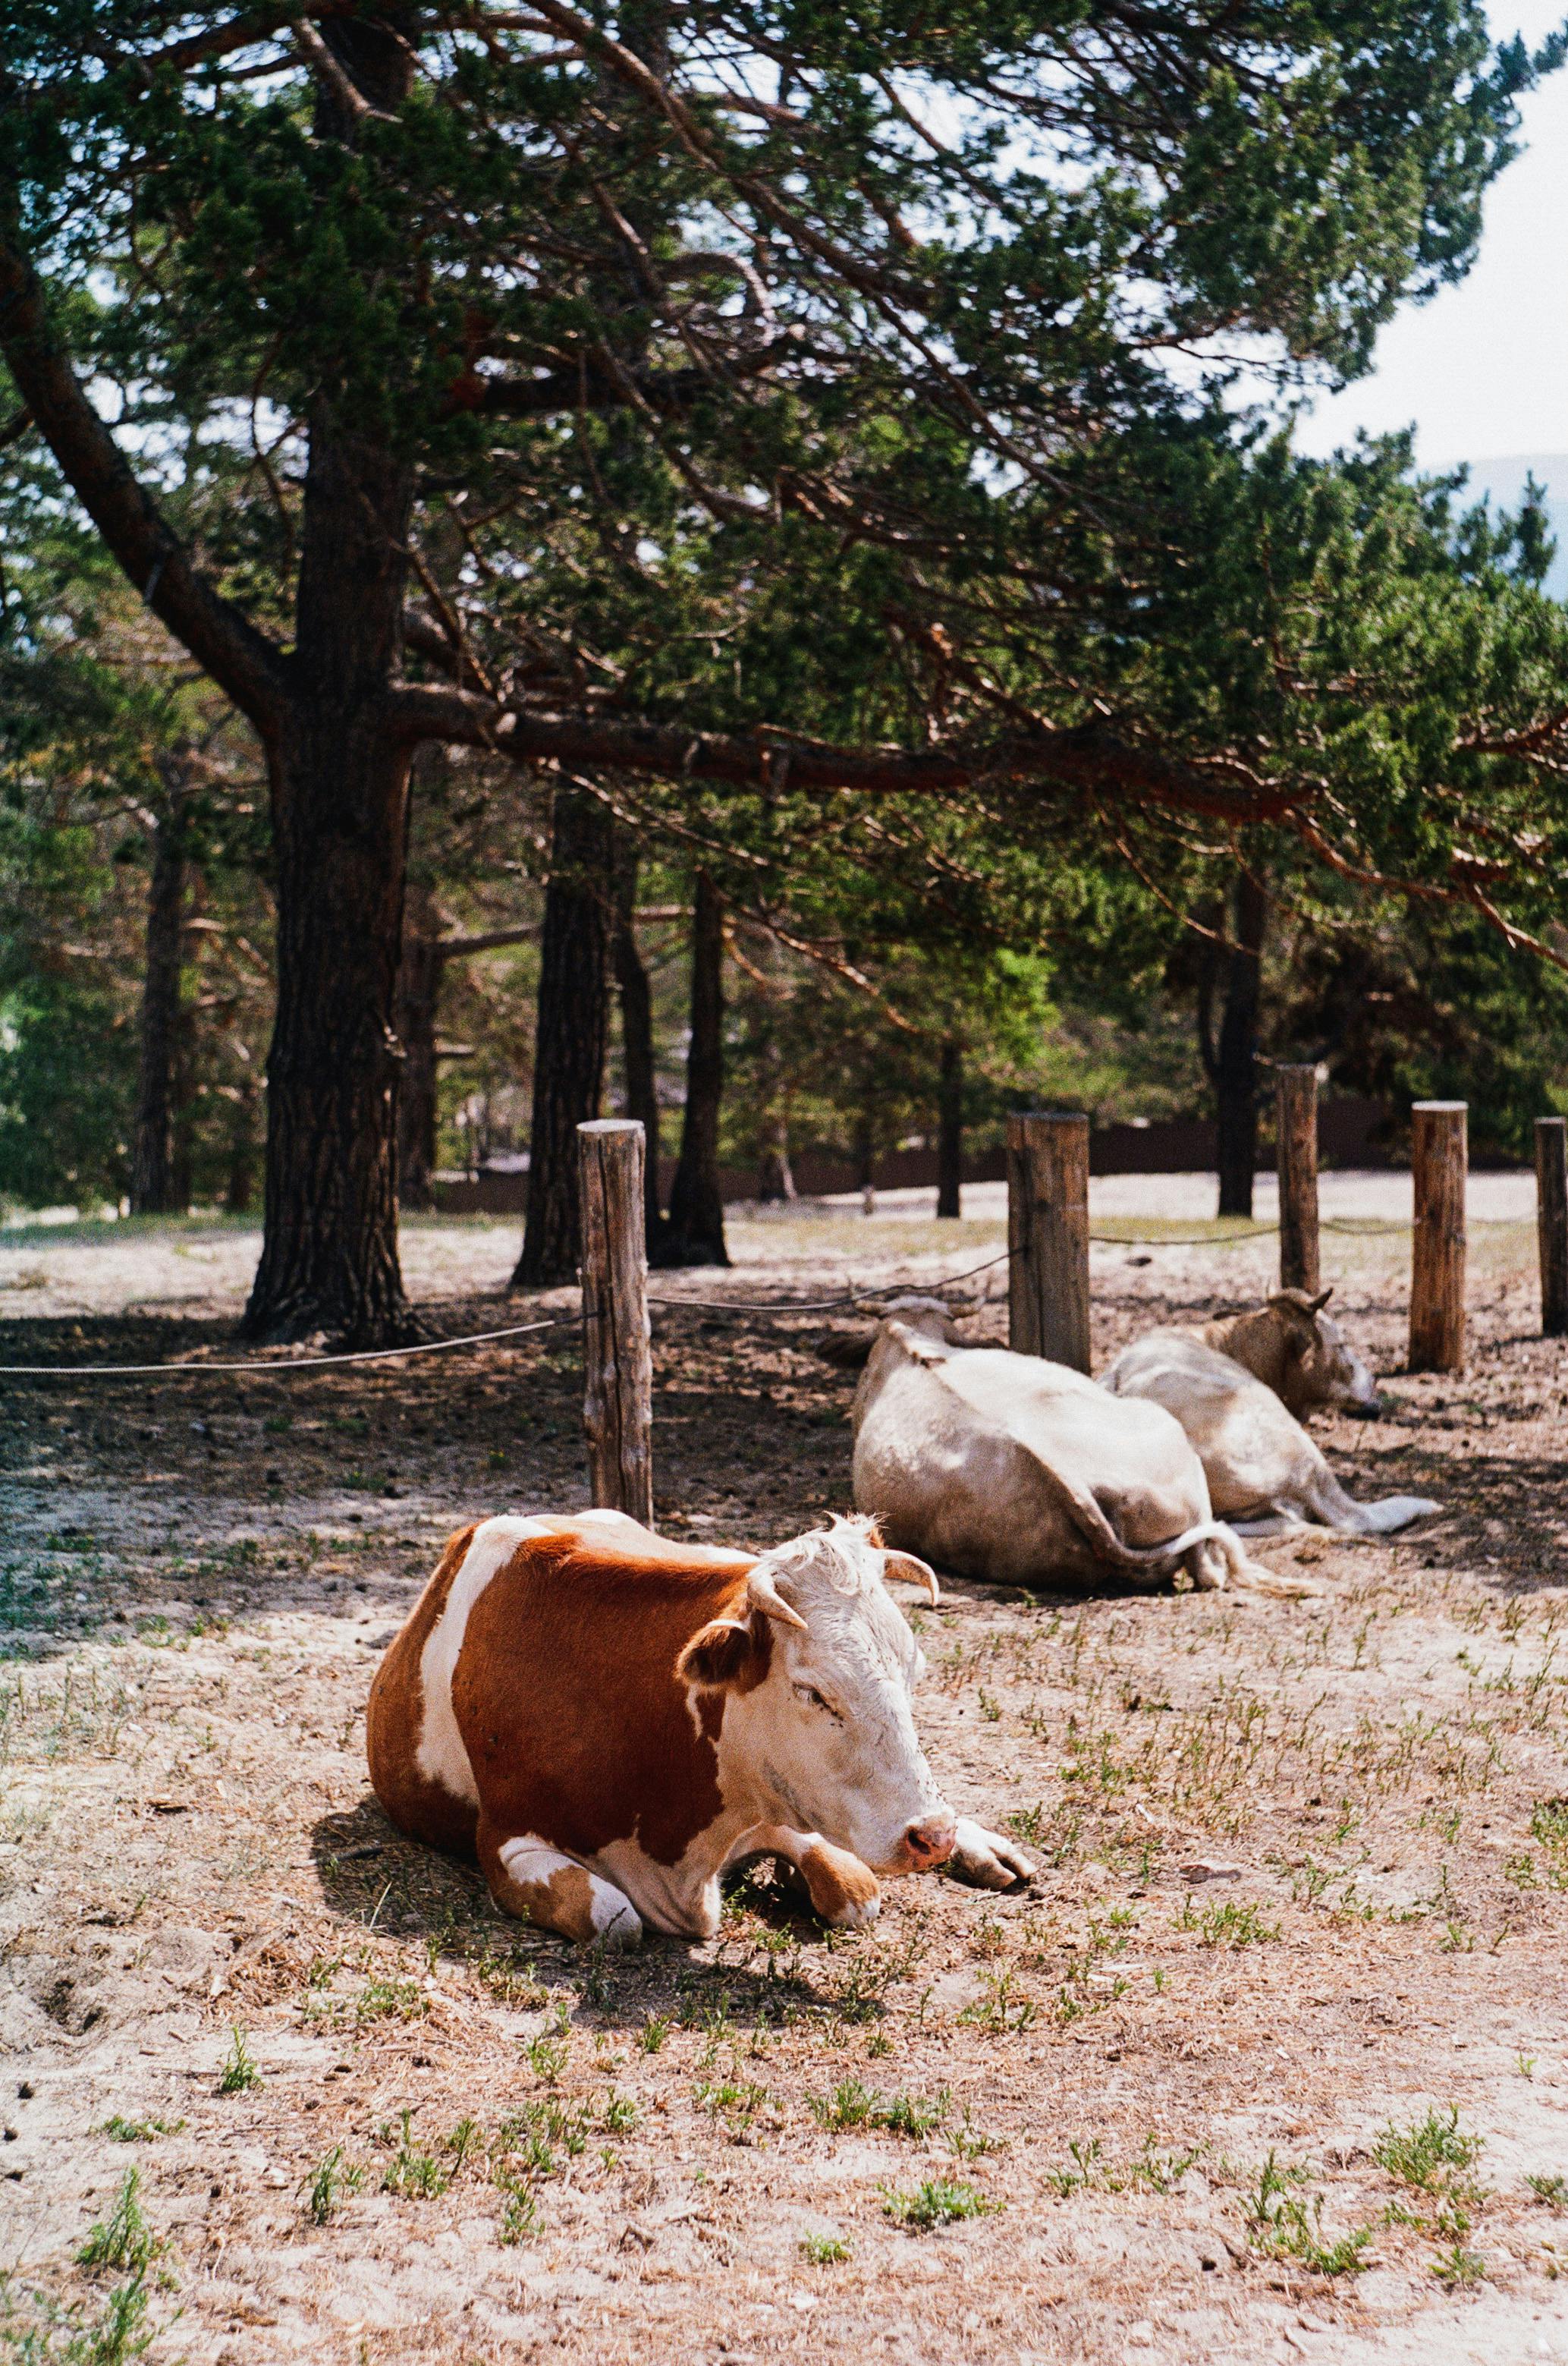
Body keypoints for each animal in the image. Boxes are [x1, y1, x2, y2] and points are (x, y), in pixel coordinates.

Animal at [366, 1507, 1034, 1947]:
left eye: (914, 1670)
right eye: (812, 1692)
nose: (932, 1836)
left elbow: (853, 1889)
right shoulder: (506, 1844)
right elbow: (613, 1919)